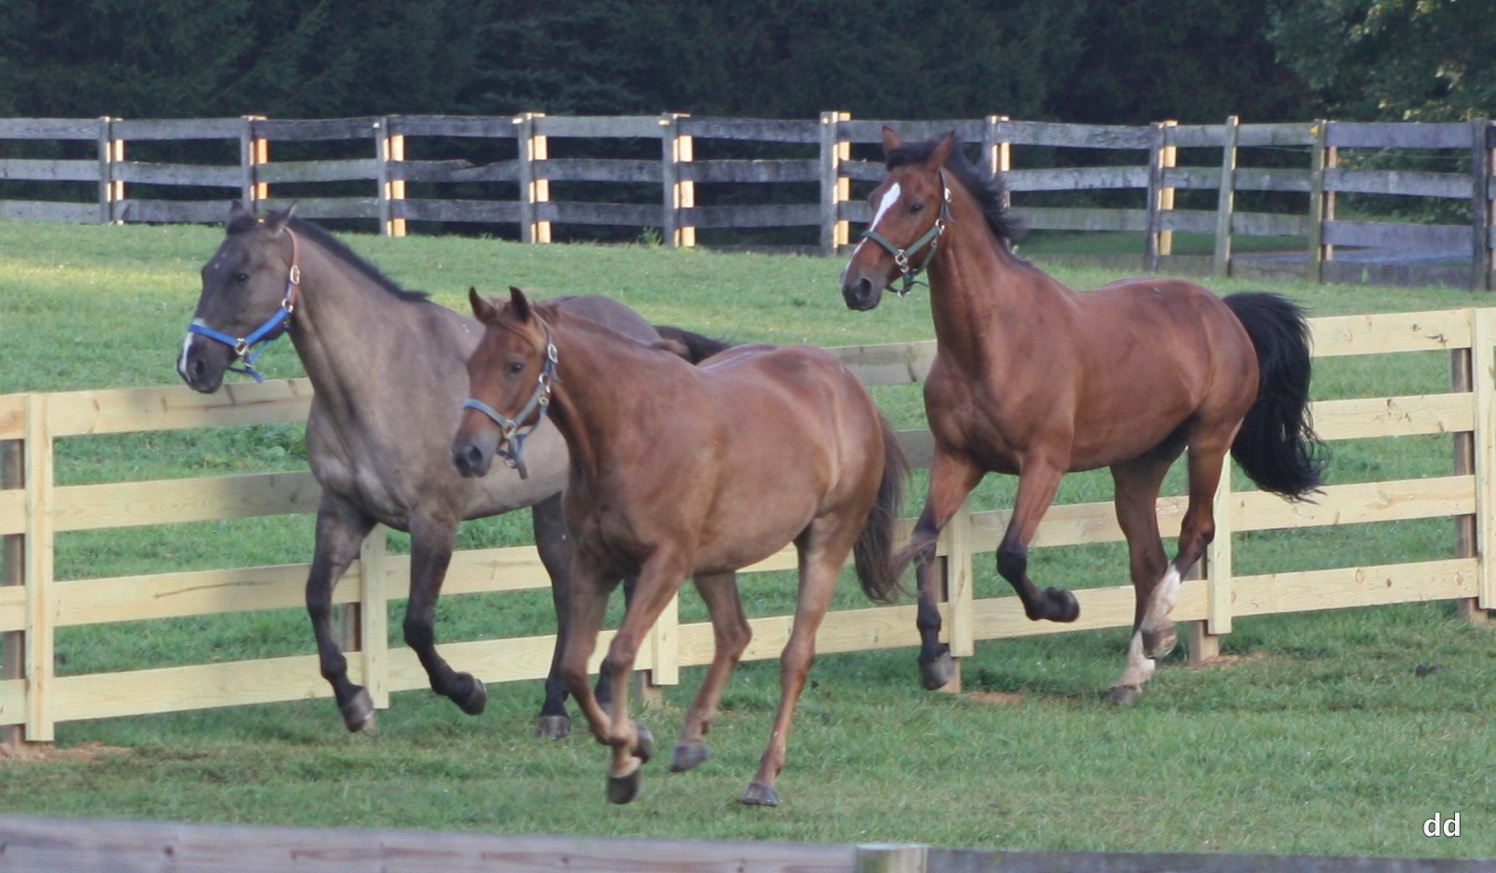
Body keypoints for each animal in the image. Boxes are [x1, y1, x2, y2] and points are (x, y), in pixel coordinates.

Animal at [176, 203, 727, 737]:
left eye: (242, 275)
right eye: (206, 272)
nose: (193, 364)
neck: (382, 377)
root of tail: (648, 333)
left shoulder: (435, 519)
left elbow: (418, 625)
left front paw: (467, 691)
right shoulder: (344, 510)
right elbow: (316, 598)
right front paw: (355, 704)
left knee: (627, 588)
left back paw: (606, 701)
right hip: (553, 507)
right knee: (567, 592)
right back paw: (554, 709)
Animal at [451, 287, 908, 806]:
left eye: (514, 364)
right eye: (472, 362)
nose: (467, 453)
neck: (631, 430)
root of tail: (849, 387)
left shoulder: (663, 565)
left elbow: (619, 655)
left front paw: (627, 757)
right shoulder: (593, 563)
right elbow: (574, 666)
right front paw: (631, 748)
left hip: (825, 542)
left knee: (795, 655)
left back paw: (763, 779)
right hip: (716, 561)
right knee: (734, 634)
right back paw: (691, 741)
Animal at [839, 128, 1325, 704]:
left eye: (915, 204)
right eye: (872, 199)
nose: (857, 286)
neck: (993, 343)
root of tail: (1223, 311)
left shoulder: (1043, 465)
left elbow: (1010, 554)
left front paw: (1062, 605)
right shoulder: (958, 460)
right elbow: (922, 542)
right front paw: (933, 659)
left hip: (1210, 439)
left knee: (1195, 533)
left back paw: (1155, 638)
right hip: (1137, 464)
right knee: (1147, 558)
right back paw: (1133, 671)